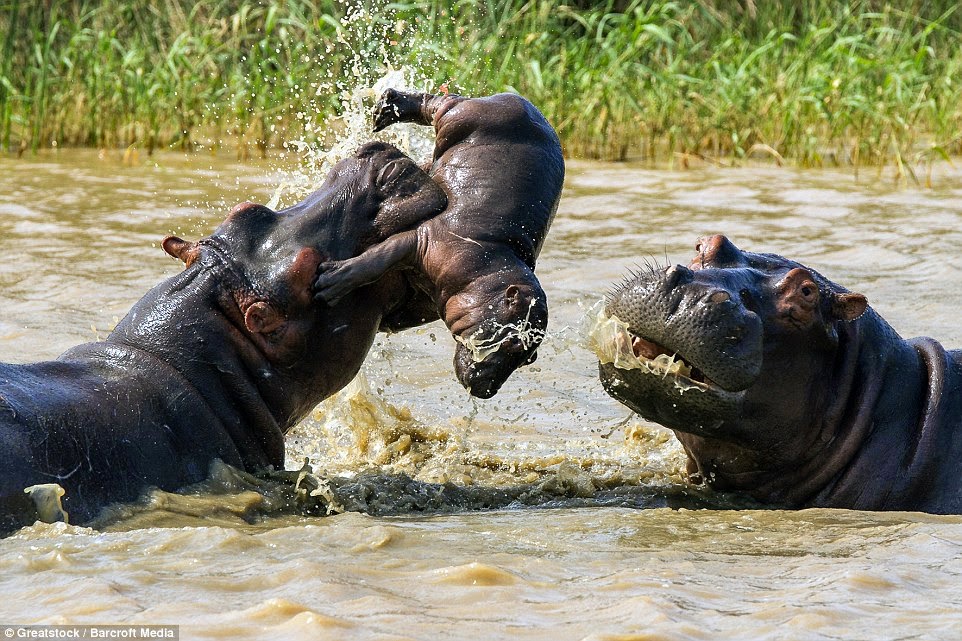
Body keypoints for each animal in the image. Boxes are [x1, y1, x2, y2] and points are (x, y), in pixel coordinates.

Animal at [313, 89, 565, 398]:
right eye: (512, 340)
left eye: (529, 358)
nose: (488, 390)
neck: (490, 270)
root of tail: (514, 97)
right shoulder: (423, 239)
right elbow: (378, 258)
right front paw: (328, 283)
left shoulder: (431, 295)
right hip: (457, 117)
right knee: (438, 102)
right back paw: (386, 109)